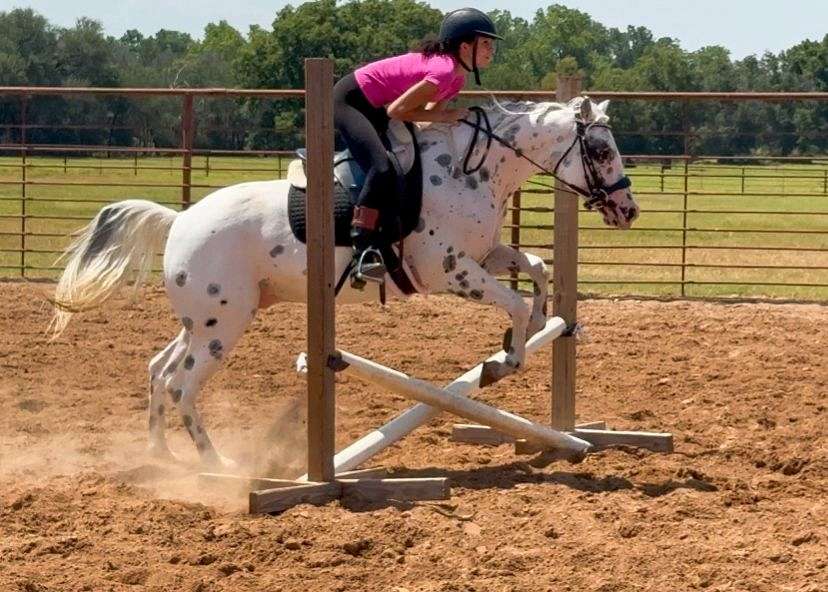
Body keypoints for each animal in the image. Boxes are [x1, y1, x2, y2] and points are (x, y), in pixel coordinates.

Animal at [50, 96, 638, 468]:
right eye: (602, 151)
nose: (628, 210)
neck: (469, 171)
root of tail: (179, 221)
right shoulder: (446, 269)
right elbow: (512, 302)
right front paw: (503, 361)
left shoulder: (480, 256)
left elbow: (535, 268)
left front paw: (538, 326)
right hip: (224, 325)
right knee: (182, 386)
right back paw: (218, 464)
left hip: (205, 318)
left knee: (158, 370)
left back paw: (161, 456)